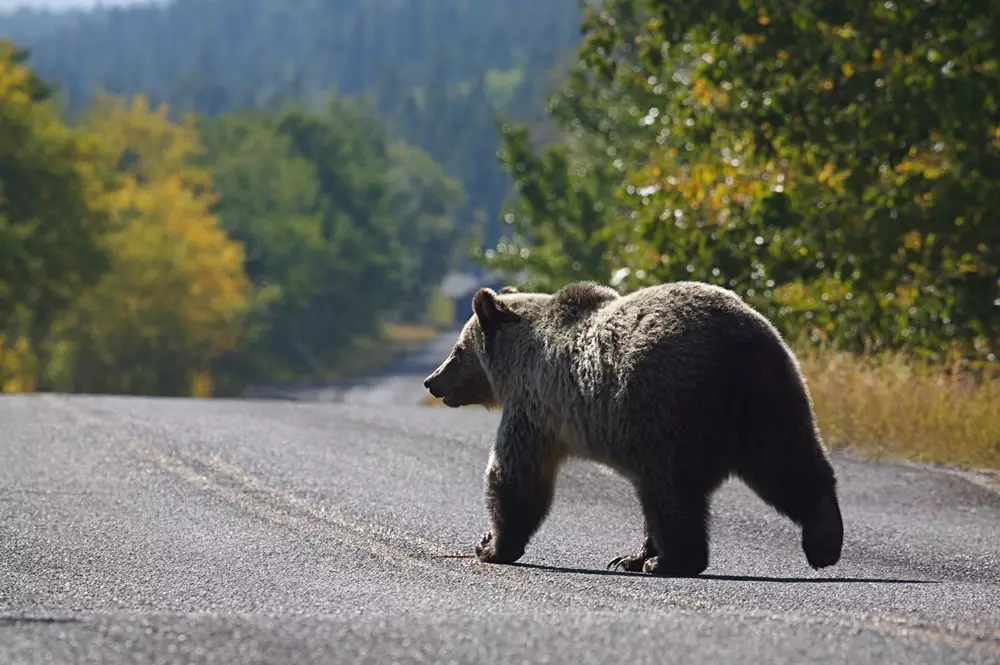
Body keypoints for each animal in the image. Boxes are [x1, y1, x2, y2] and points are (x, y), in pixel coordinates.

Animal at [422, 280, 844, 576]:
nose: (432, 381)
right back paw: (825, 540)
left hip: (666, 409)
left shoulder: (535, 408)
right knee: (787, 464)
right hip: (770, 397)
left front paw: (491, 545)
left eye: (457, 351)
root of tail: (736, 345)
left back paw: (672, 561)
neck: (516, 361)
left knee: (671, 492)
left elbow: (515, 476)